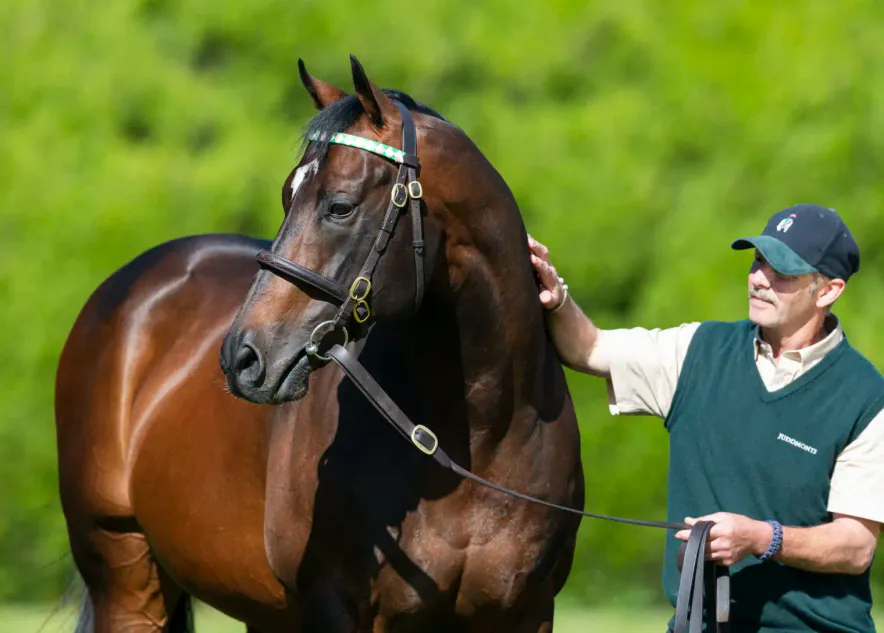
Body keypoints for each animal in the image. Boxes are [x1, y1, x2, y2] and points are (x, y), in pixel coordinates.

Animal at [55, 55, 585, 632]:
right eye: (288, 195)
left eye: (340, 207)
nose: (241, 358)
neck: (484, 439)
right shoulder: (336, 607)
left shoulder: (528, 612)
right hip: (126, 580)